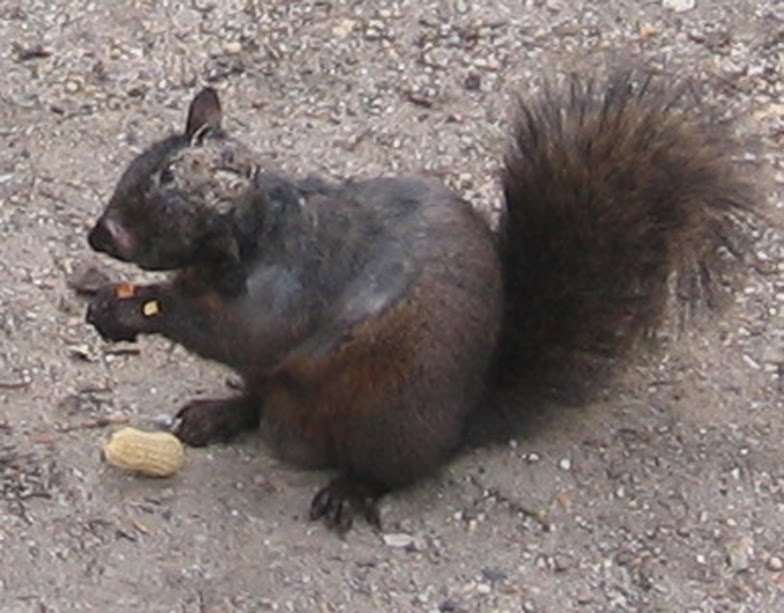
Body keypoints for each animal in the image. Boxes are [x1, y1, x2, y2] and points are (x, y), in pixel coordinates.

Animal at [84, 72, 757, 532]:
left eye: (166, 187)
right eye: (140, 166)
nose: (100, 235)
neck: (252, 235)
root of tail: (464, 419)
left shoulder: (288, 291)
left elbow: (235, 330)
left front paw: (132, 308)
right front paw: (104, 296)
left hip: (391, 418)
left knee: (392, 472)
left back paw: (350, 491)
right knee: (256, 396)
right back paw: (217, 414)